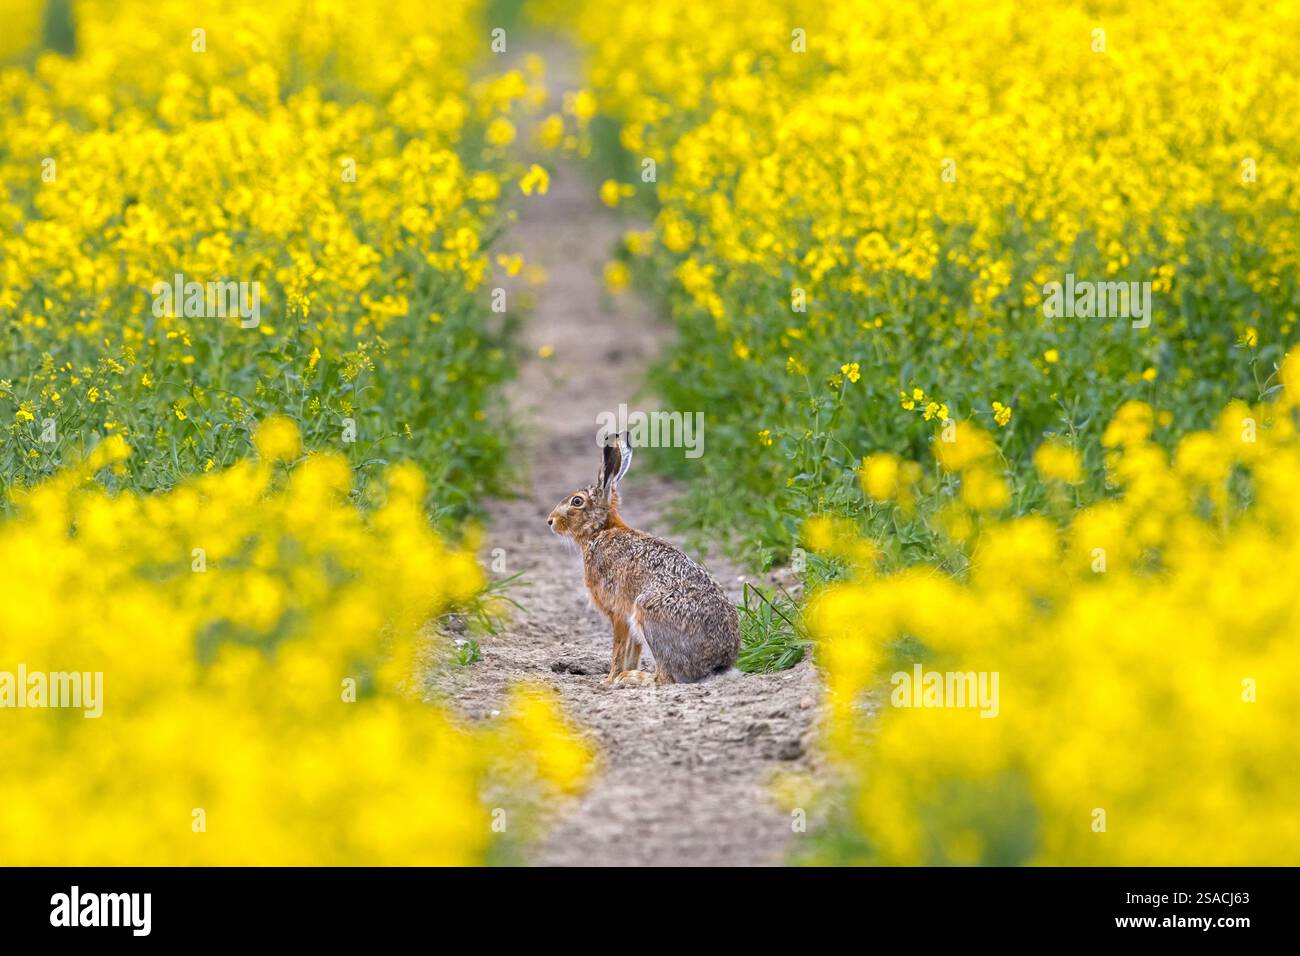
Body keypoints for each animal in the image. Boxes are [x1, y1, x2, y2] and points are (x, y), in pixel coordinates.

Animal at [547, 431, 740, 687]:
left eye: (576, 501)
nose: (550, 521)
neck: (599, 531)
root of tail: (718, 662)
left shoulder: (618, 611)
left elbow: (618, 649)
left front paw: (609, 680)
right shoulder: (628, 619)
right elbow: (633, 650)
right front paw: (615, 677)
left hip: (647, 612)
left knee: (665, 678)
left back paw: (631, 678)